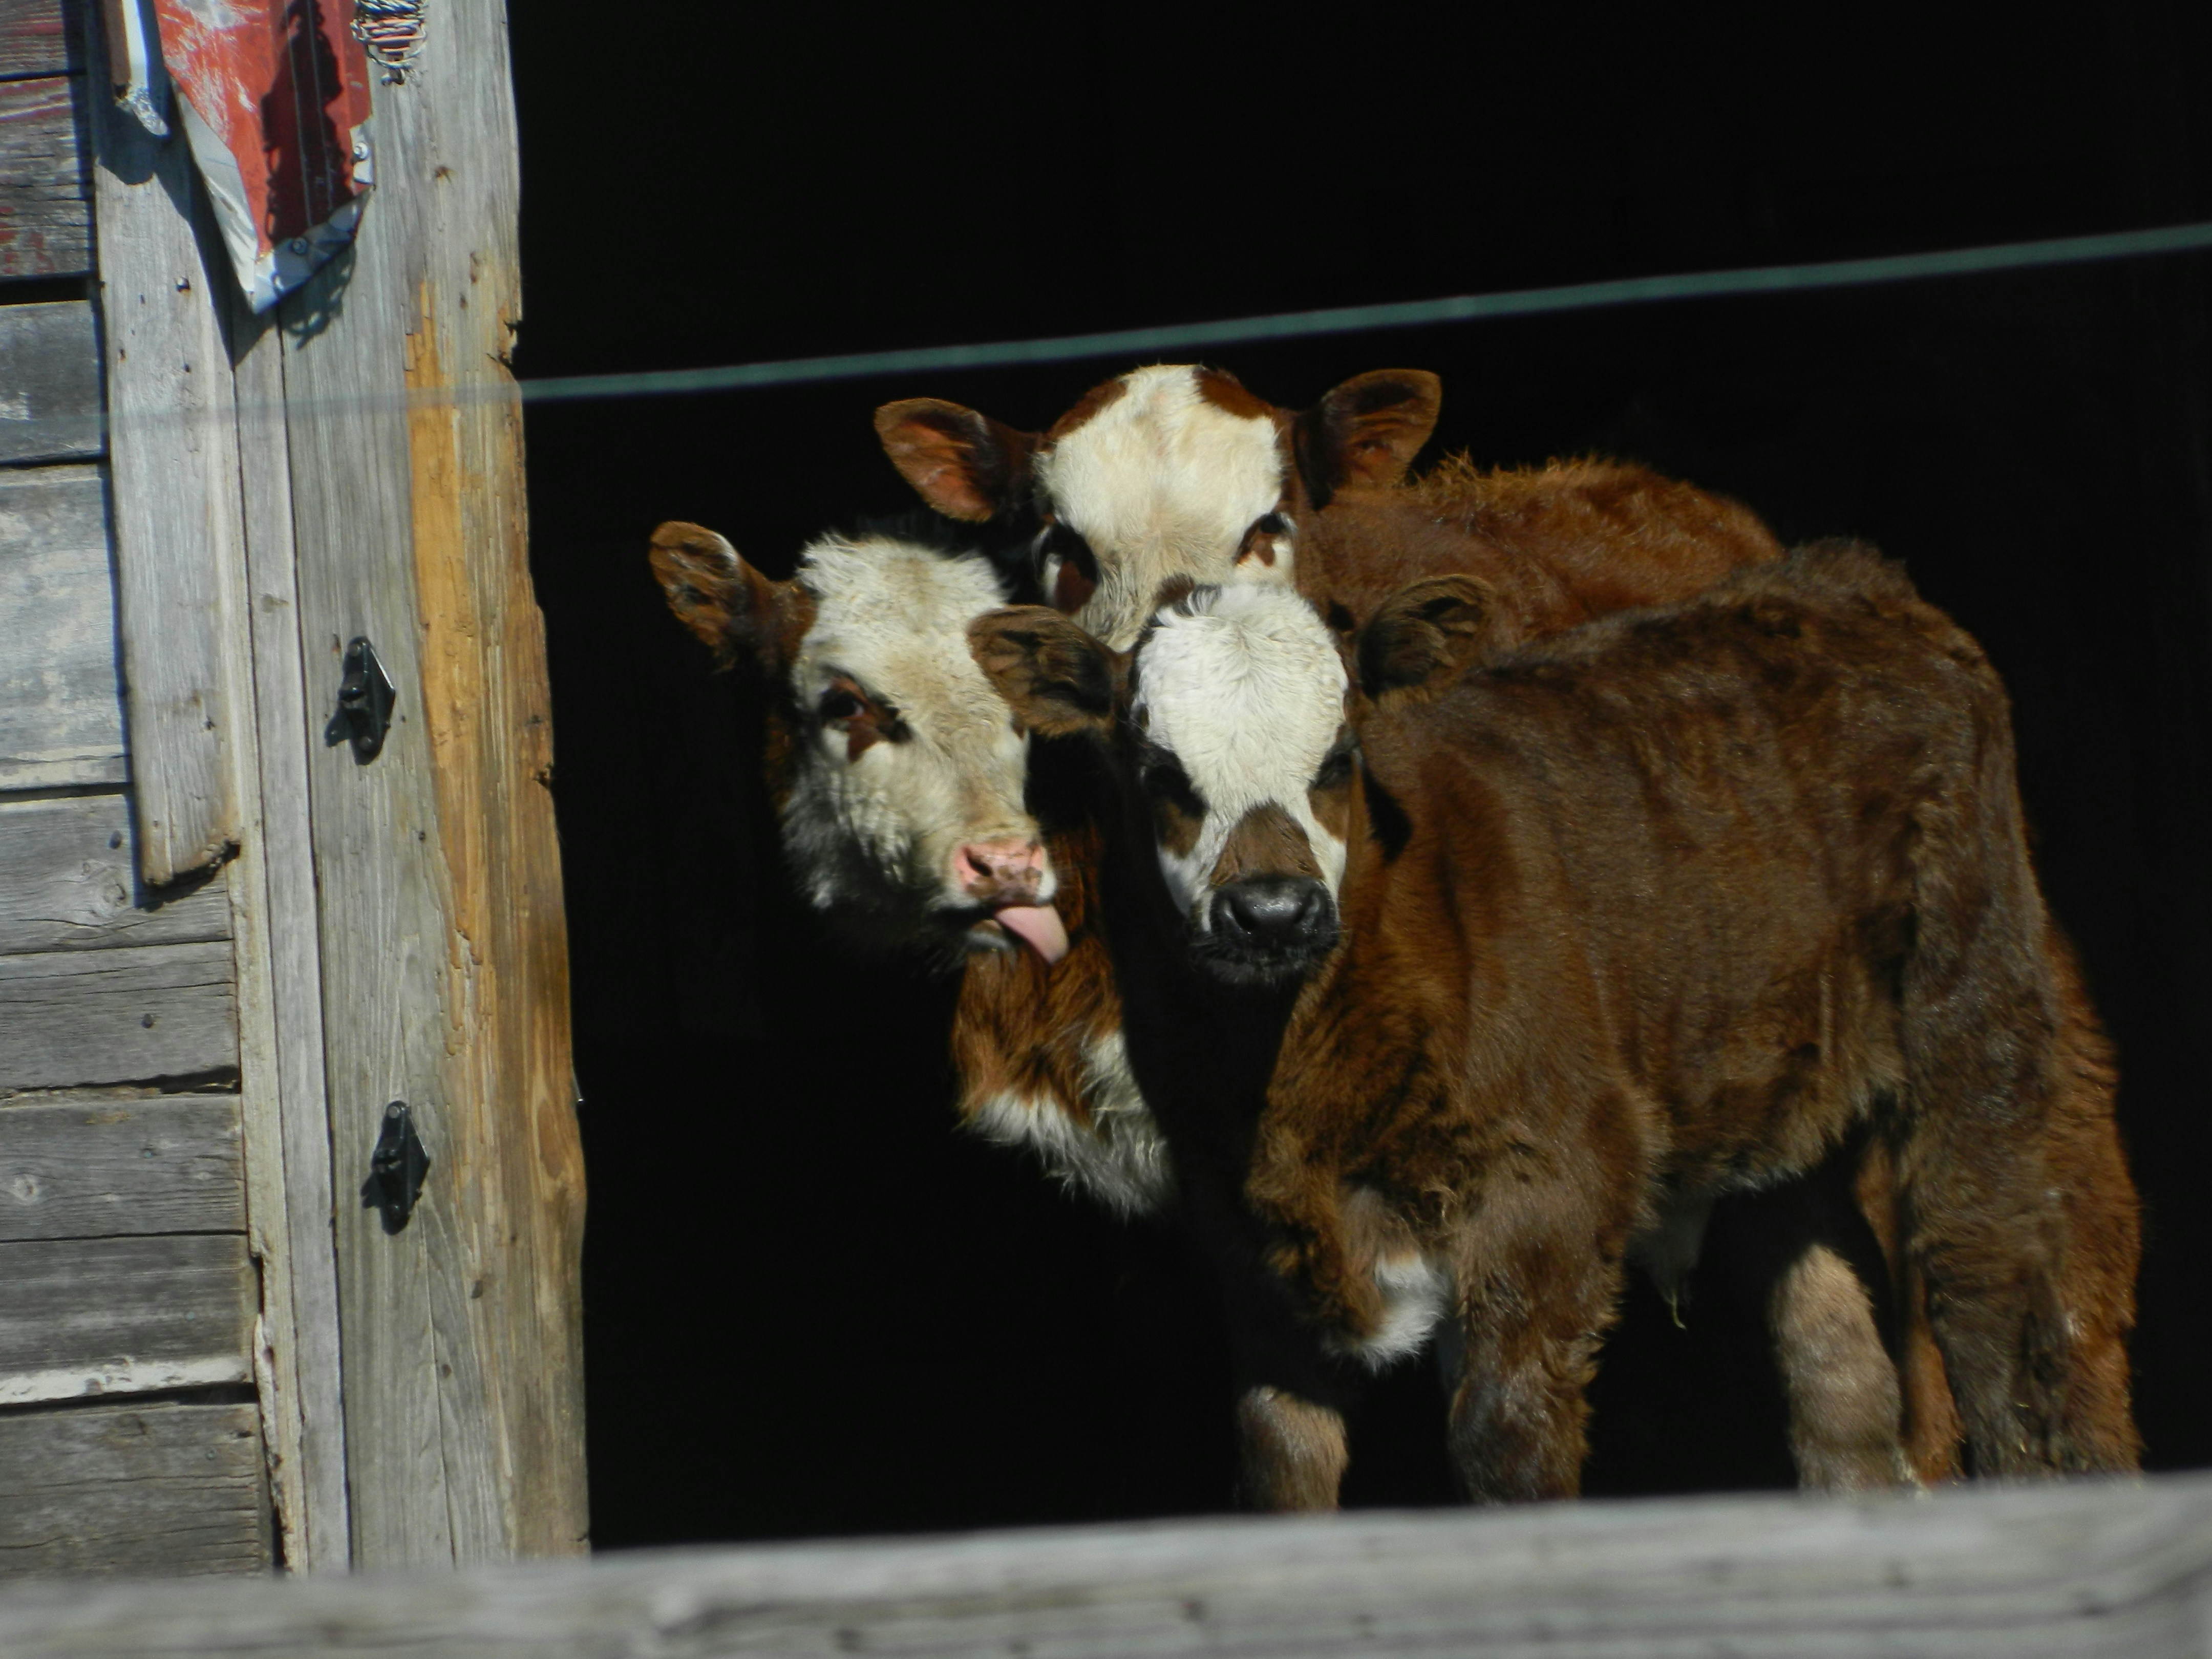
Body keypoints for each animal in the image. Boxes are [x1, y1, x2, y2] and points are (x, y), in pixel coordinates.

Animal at [971, 546, 2141, 1505]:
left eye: (1341, 756)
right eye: (1157, 770)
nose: (1272, 912)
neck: (1298, 1084)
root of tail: (1850, 581)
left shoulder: (1552, 1187)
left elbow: (1507, 1445)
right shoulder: (1245, 1239)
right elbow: (1282, 1473)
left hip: (1984, 1014)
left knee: (2007, 1286)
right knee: (1840, 1374)